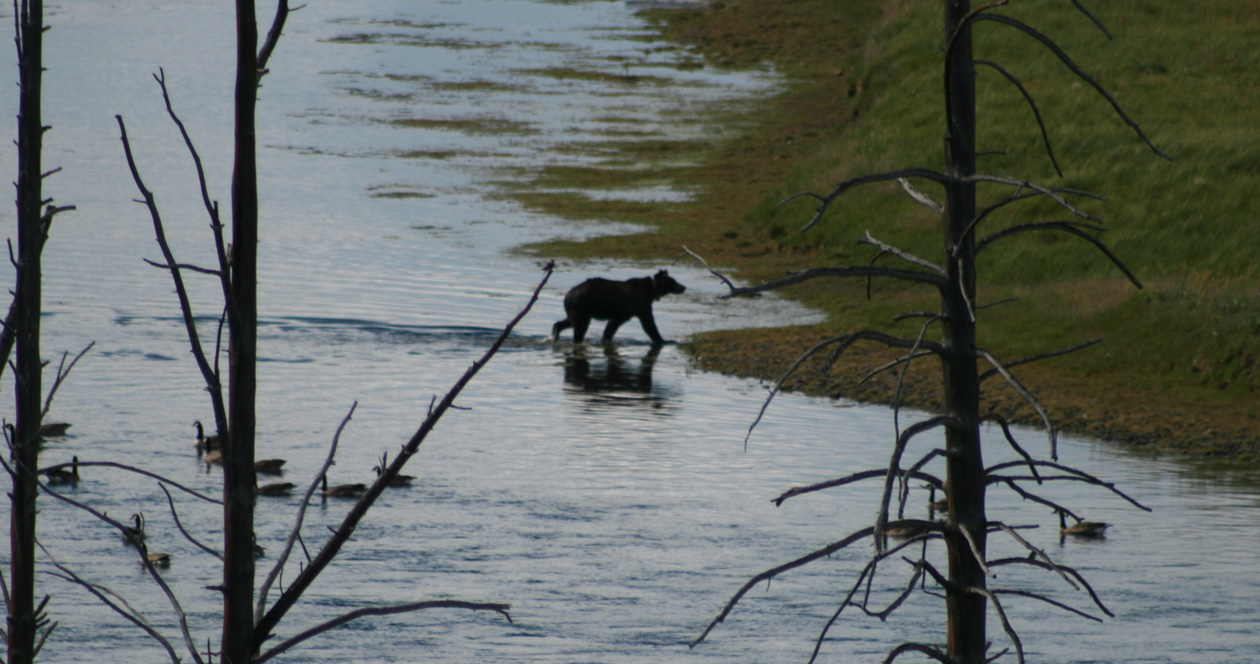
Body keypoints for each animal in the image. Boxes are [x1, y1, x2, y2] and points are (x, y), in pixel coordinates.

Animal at [551, 270, 687, 345]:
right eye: (673, 281)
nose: (683, 287)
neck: (651, 292)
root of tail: (567, 295)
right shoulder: (638, 304)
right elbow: (648, 323)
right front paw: (664, 340)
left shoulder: (626, 310)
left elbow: (612, 326)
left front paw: (606, 339)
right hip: (582, 306)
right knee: (580, 327)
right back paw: (576, 340)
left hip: (576, 309)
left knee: (569, 322)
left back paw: (555, 333)